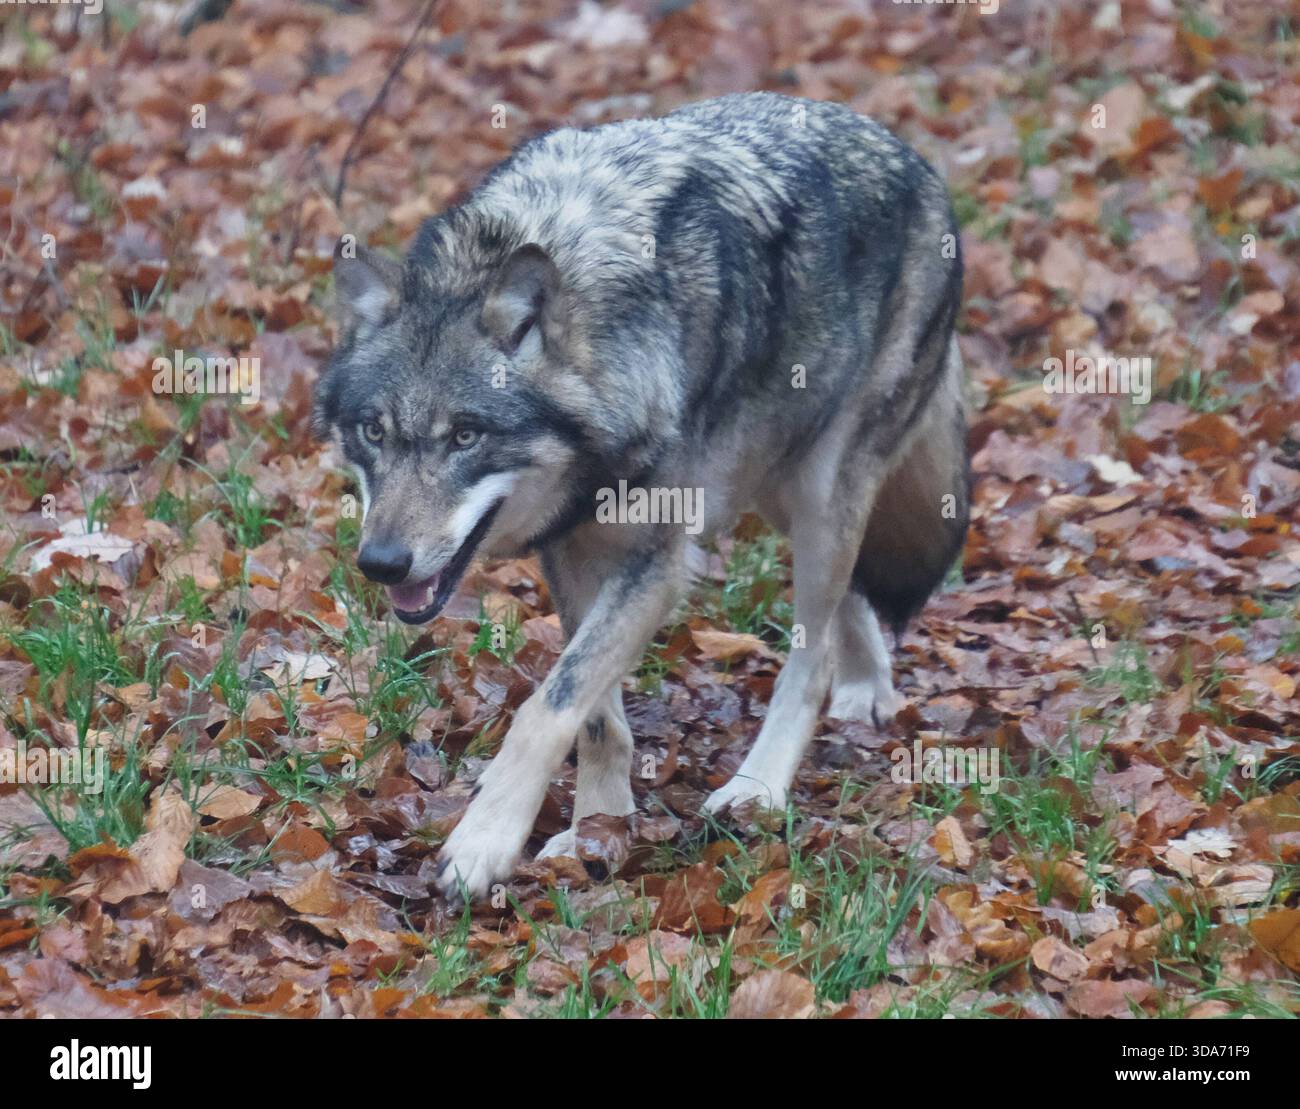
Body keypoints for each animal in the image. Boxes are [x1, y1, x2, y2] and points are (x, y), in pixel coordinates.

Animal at [313, 92, 969, 901]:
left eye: (465, 436)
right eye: (373, 431)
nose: (381, 563)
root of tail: (908, 154)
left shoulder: (657, 564)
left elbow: (547, 707)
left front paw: (485, 841)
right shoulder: (573, 551)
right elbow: (595, 717)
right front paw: (600, 832)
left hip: (820, 489)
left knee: (809, 655)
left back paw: (759, 788)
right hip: (780, 485)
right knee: (852, 594)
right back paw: (867, 687)